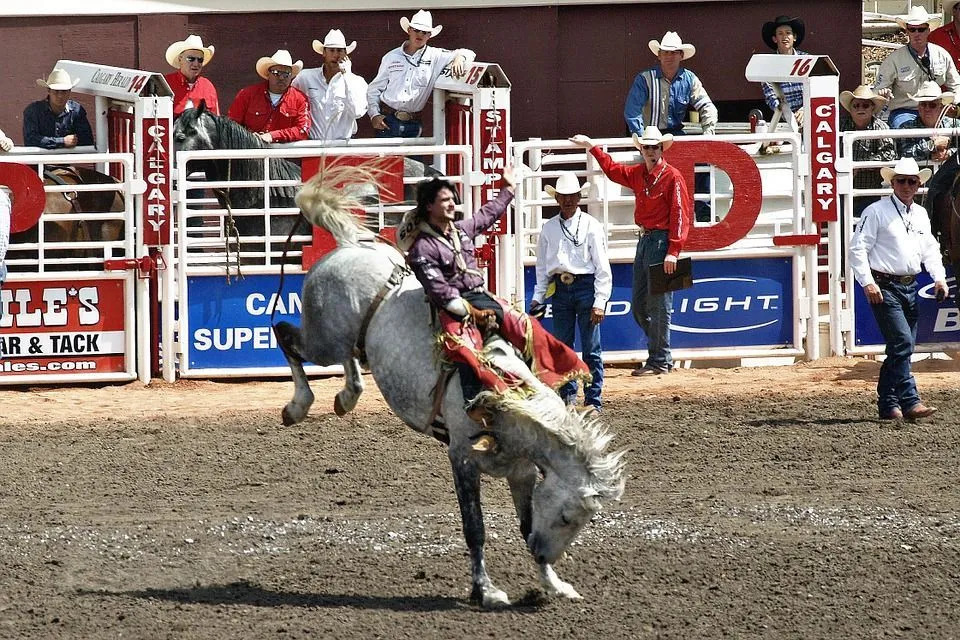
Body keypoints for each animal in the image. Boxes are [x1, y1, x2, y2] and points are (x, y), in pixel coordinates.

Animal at [274, 164, 628, 604]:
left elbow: (525, 521)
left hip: (348, 341)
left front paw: (553, 584)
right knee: (285, 334)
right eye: (566, 516)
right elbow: (475, 528)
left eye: (580, 521)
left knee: (347, 360)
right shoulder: (462, 457)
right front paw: (486, 591)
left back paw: (346, 396)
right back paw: (299, 405)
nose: (542, 552)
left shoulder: (521, 471)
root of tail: (350, 245)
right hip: (321, 338)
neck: (507, 400)